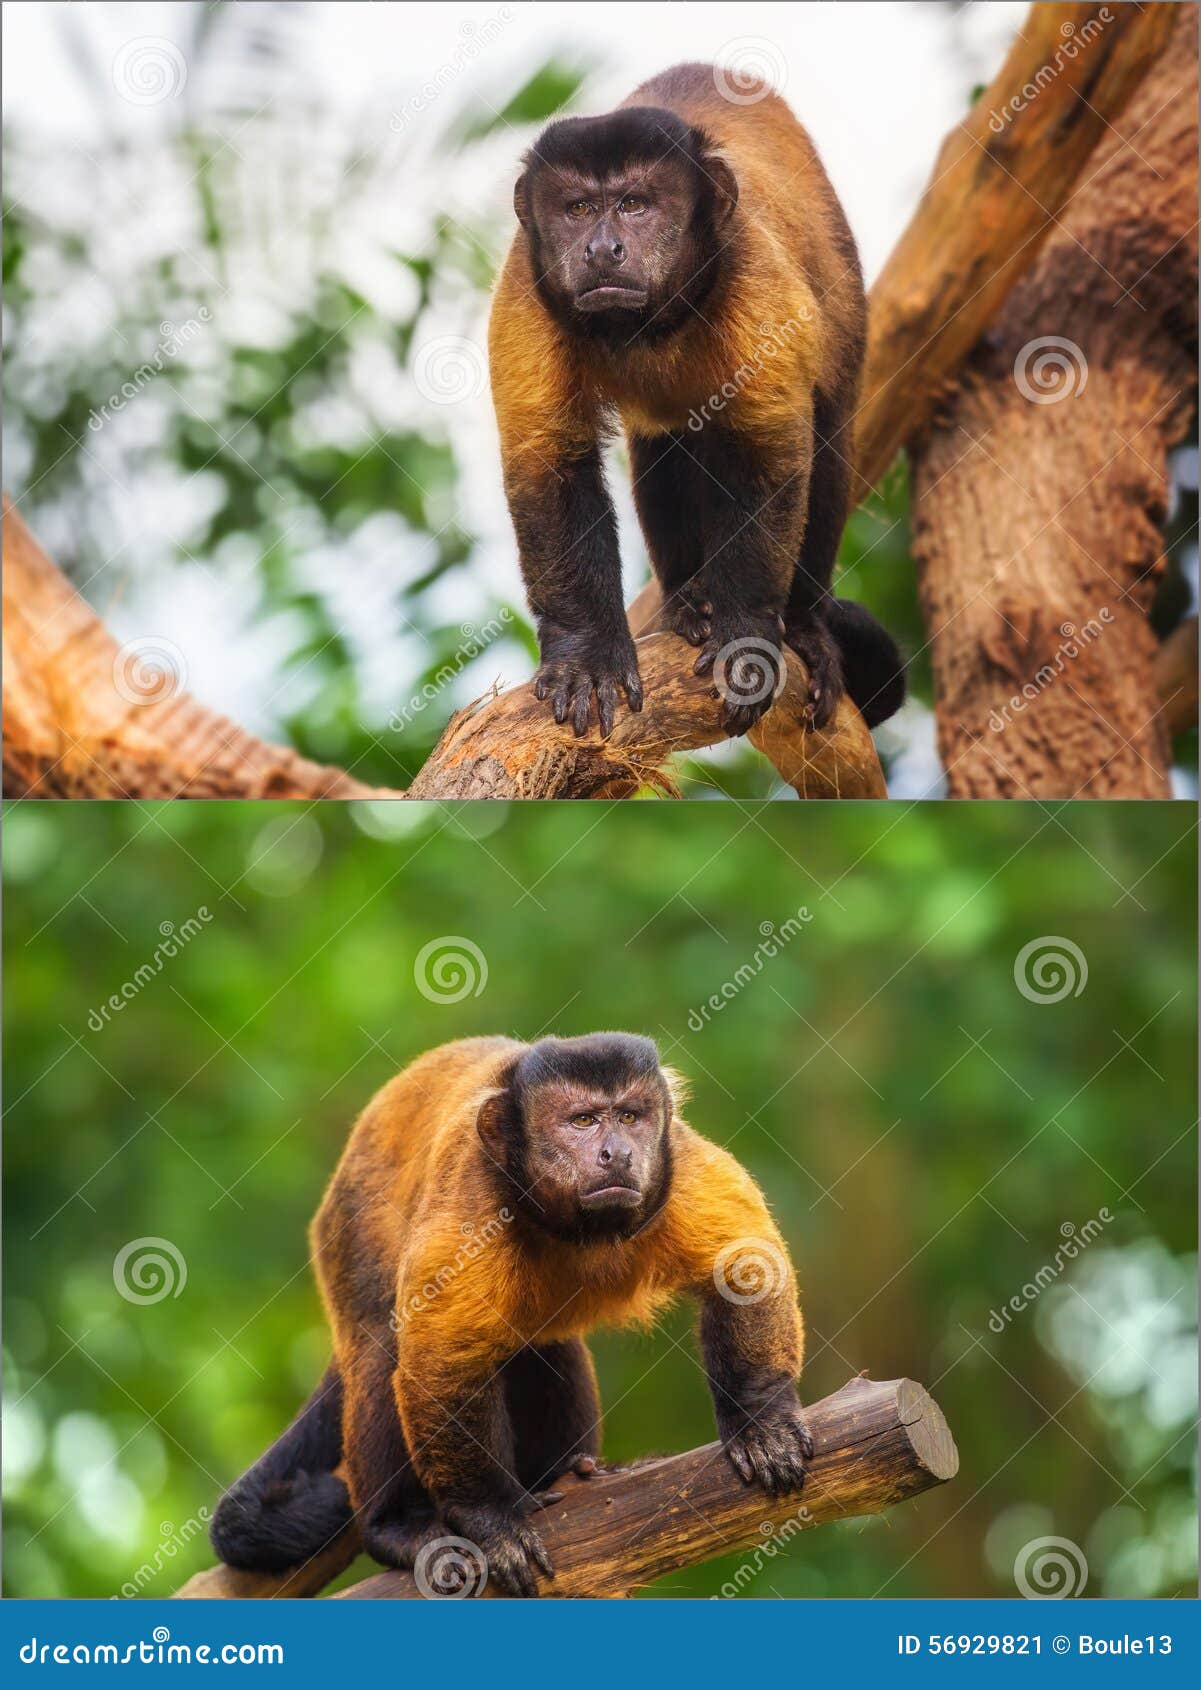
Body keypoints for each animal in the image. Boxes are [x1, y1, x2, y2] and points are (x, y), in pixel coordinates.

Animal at [211, 1033, 811, 1597]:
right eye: (583, 1121)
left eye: (630, 1117)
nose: (617, 1153)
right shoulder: (474, 1199)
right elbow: (439, 1360)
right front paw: (491, 1518)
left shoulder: (677, 1165)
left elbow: (746, 1270)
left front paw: (759, 1421)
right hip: (347, 1233)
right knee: (380, 1345)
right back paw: (394, 1525)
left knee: (539, 1346)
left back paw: (566, 1472)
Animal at [488, 62, 906, 741]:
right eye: (578, 209)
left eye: (635, 204)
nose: (601, 250)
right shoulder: (525, 288)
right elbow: (548, 463)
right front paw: (585, 655)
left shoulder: (755, 278)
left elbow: (768, 458)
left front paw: (746, 635)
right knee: (663, 447)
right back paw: (688, 599)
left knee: (827, 441)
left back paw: (806, 623)